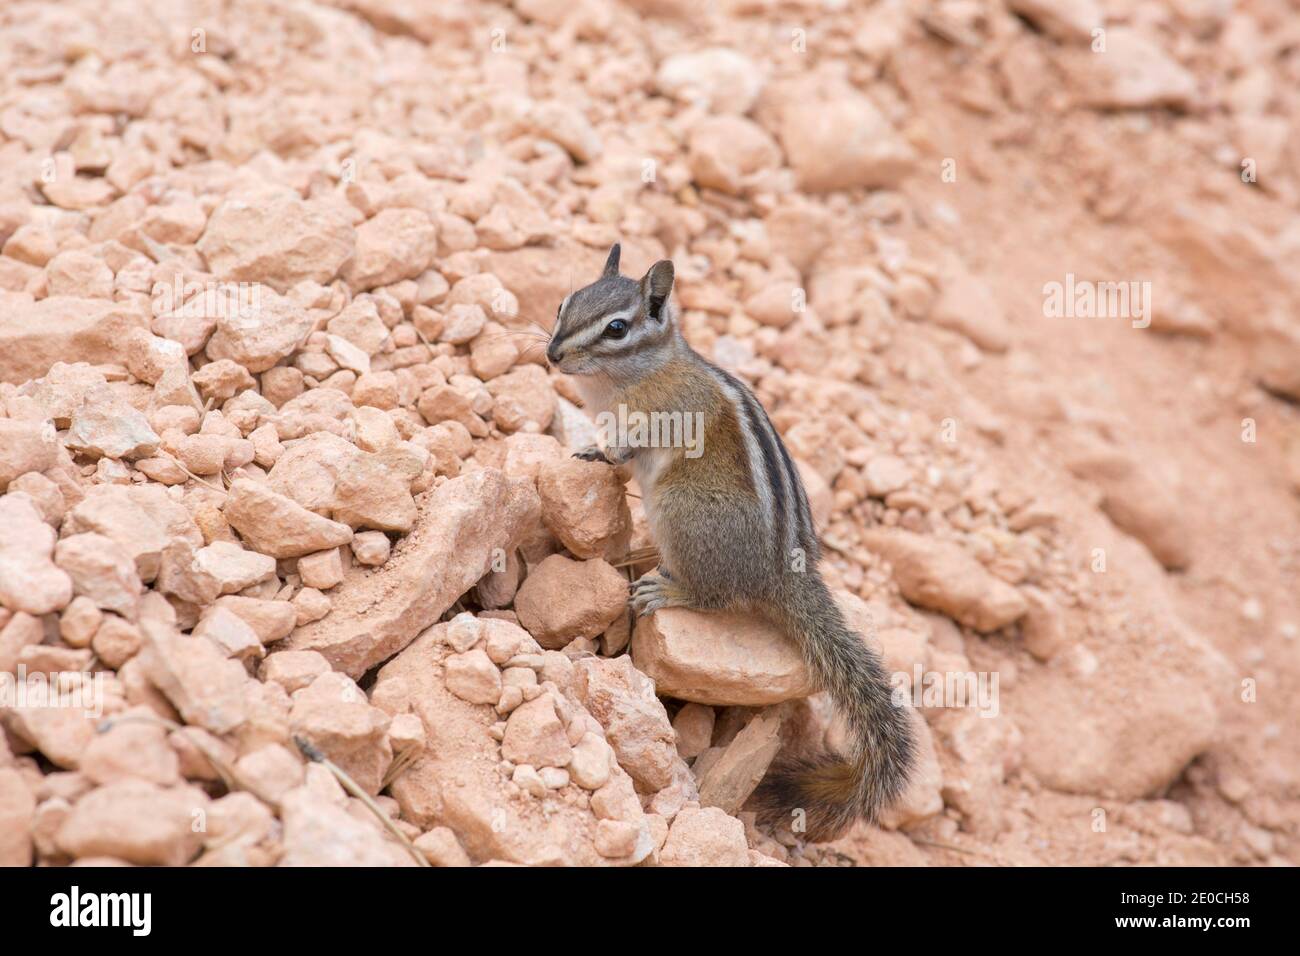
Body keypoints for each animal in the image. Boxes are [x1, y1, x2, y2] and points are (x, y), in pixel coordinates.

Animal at [546, 244, 916, 841]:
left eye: (617, 328)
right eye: (565, 302)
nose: (553, 355)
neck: (630, 374)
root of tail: (783, 573)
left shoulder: (665, 416)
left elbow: (633, 446)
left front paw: (602, 454)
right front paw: (592, 451)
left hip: (679, 508)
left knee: (715, 596)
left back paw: (666, 589)